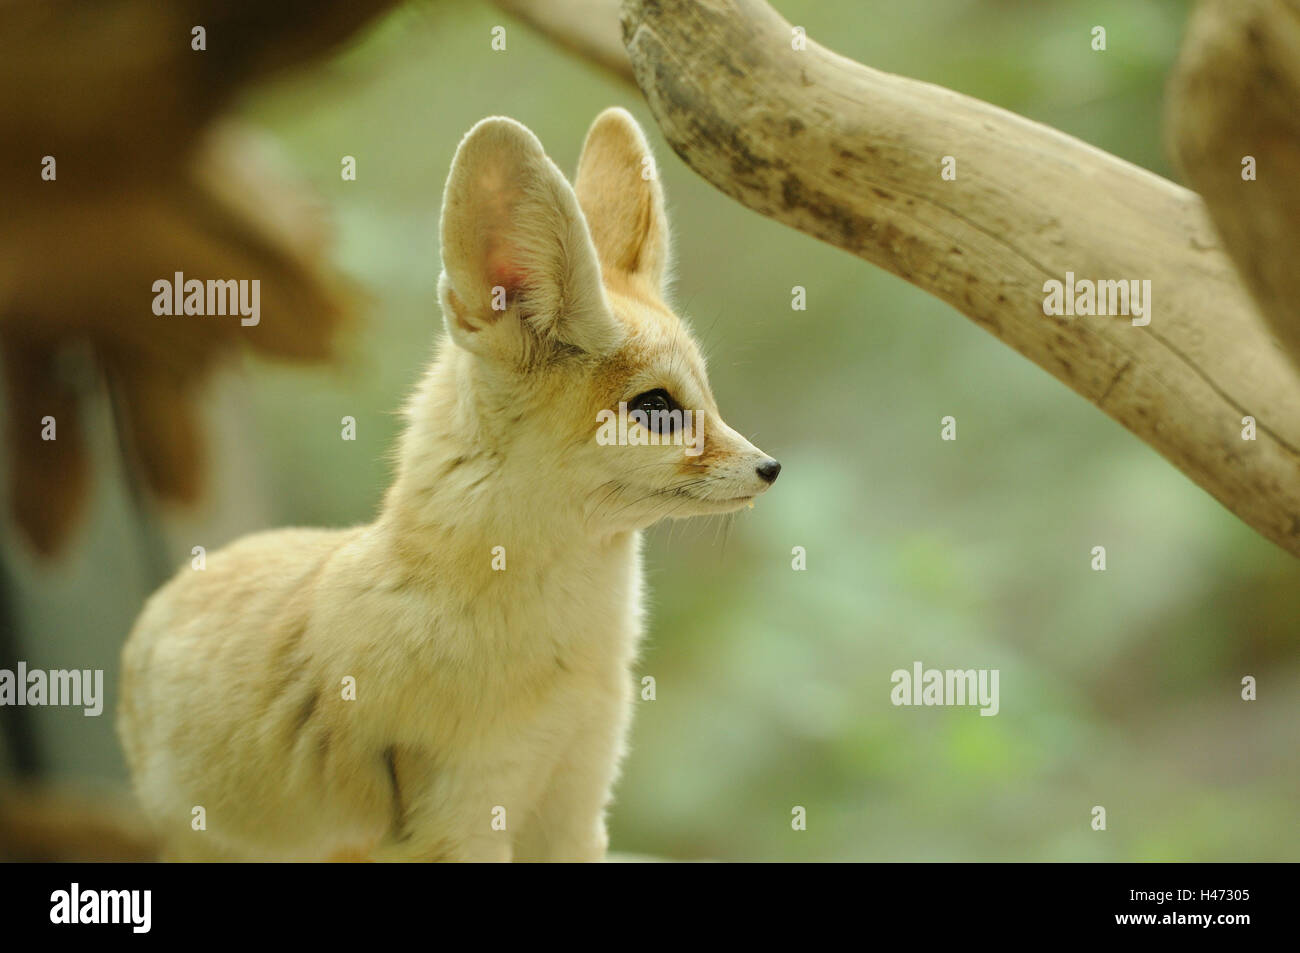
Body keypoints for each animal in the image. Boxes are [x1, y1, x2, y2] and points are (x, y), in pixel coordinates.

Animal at [117, 108, 781, 862]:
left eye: (709, 396)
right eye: (657, 407)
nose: (769, 466)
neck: (567, 653)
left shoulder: (578, 802)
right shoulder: (458, 821)